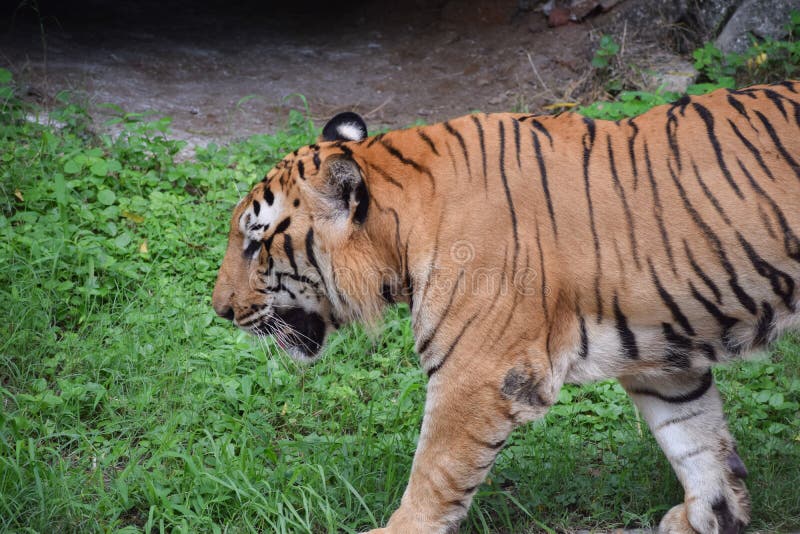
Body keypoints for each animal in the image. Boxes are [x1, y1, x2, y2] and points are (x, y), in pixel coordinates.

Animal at [211, 81, 800, 534]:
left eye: (256, 241)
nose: (220, 310)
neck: (401, 231)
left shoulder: (476, 371)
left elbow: (436, 468)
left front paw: (399, 529)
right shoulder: (658, 350)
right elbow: (693, 435)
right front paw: (713, 515)